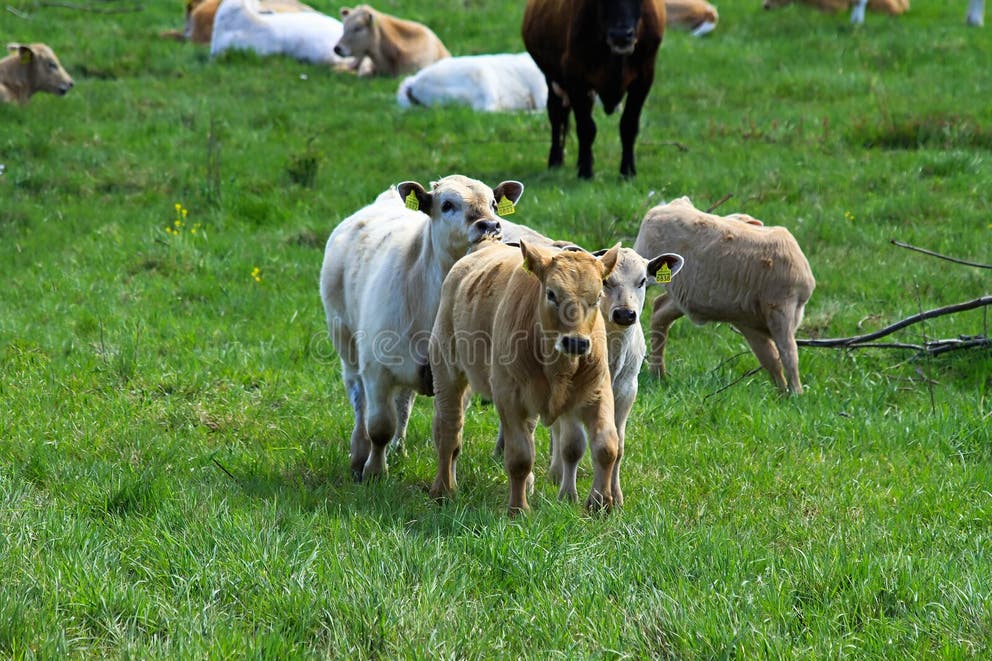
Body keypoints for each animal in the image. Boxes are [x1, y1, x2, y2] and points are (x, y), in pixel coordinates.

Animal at [320, 175, 523, 482]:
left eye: (494, 204)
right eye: (447, 204)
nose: (490, 225)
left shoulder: (456, 377)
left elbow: (450, 430)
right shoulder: (376, 369)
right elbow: (379, 427)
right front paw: (374, 472)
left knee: (403, 402)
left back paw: (399, 448)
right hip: (346, 341)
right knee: (358, 399)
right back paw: (358, 454)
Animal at [429, 239, 622, 514]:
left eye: (597, 297)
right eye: (551, 294)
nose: (575, 342)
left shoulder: (598, 392)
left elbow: (606, 446)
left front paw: (601, 503)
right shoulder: (509, 398)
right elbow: (520, 457)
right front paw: (518, 509)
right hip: (447, 371)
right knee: (449, 432)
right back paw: (444, 489)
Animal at [522, 0, 666, 179]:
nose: (620, 35)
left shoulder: (644, 78)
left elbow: (629, 125)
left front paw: (627, 171)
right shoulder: (575, 78)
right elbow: (586, 127)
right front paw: (586, 172)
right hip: (553, 79)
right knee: (557, 114)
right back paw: (556, 161)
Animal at [633, 196, 815, 395]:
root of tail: (671, 205)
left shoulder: (748, 320)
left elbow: (772, 359)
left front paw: (784, 393)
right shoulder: (778, 311)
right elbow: (788, 355)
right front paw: (795, 394)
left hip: (685, 294)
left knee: (660, 311)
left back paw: (658, 375)